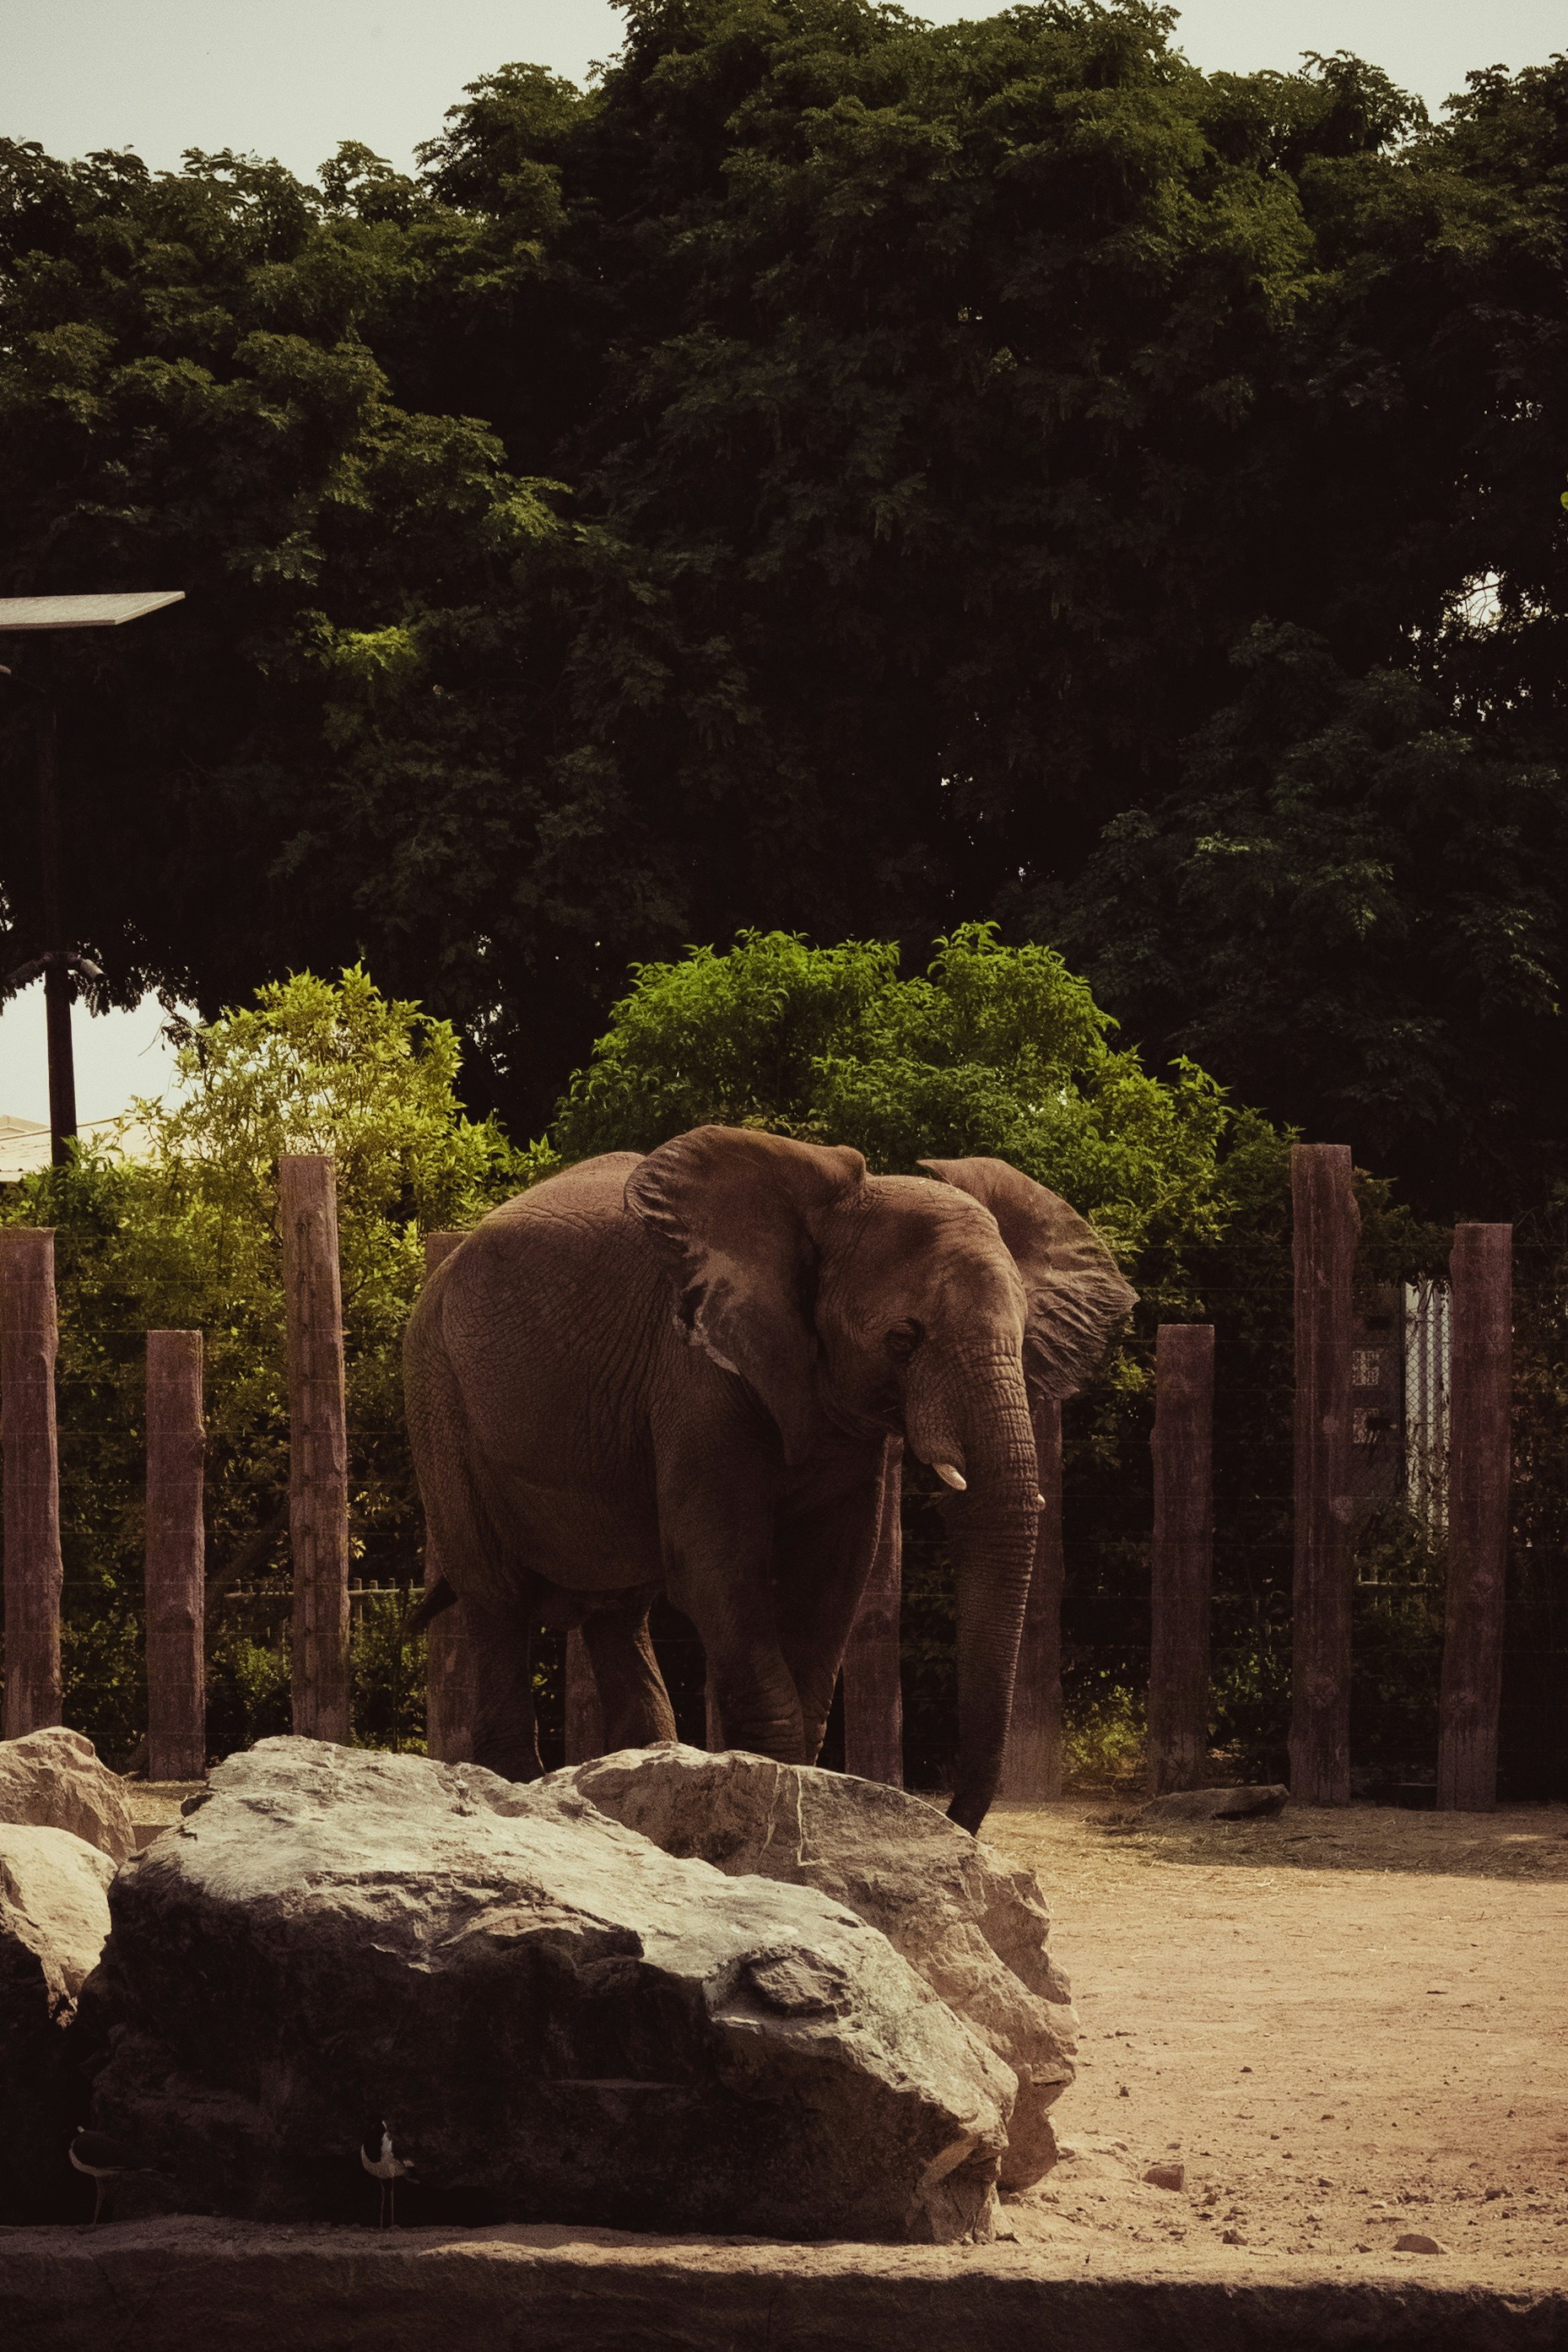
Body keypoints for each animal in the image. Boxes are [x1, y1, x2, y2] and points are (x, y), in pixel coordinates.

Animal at [404, 1125, 1134, 1832]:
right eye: (903, 1339)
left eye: (1023, 1335)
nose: (956, 1817)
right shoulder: (691, 1374)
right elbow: (717, 1570)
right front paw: (775, 1797)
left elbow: (836, 1573)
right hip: (438, 1392)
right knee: (497, 1599)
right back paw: (521, 1788)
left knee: (619, 1615)